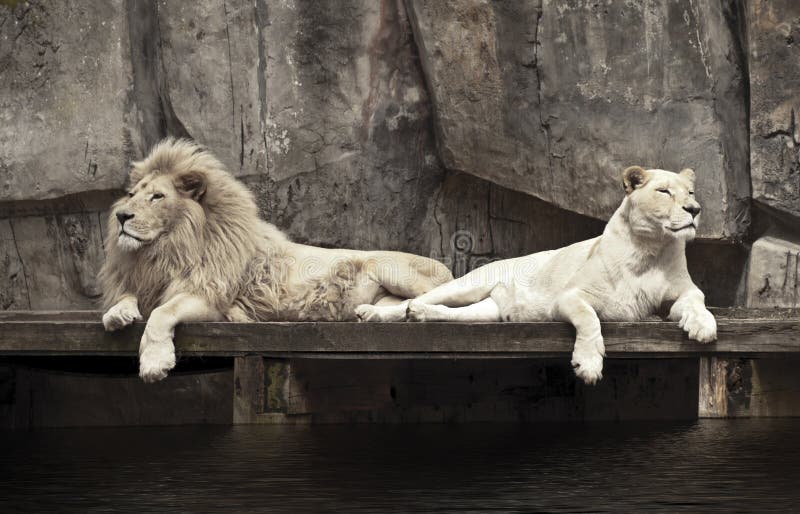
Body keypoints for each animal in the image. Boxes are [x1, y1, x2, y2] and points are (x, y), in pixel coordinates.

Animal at [100, 138, 453, 382]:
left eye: (157, 197)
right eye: (131, 195)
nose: (121, 216)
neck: (164, 251)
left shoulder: (213, 297)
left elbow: (162, 314)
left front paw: (154, 364)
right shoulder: (145, 282)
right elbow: (122, 301)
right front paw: (118, 314)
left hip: (391, 269)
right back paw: (374, 314)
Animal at [356, 166, 717, 385]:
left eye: (690, 193)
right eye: (664, 192)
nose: (695, 210)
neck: (651, 250)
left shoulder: (679, 290)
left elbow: (697, 299)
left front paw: (702, 326)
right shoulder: (569, 297)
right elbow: (590, 320)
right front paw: (588, 365)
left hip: (487, 312)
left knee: (449, 313)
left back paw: (418, 314)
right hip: (468, 284)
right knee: (417, 300)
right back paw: (374, 313)